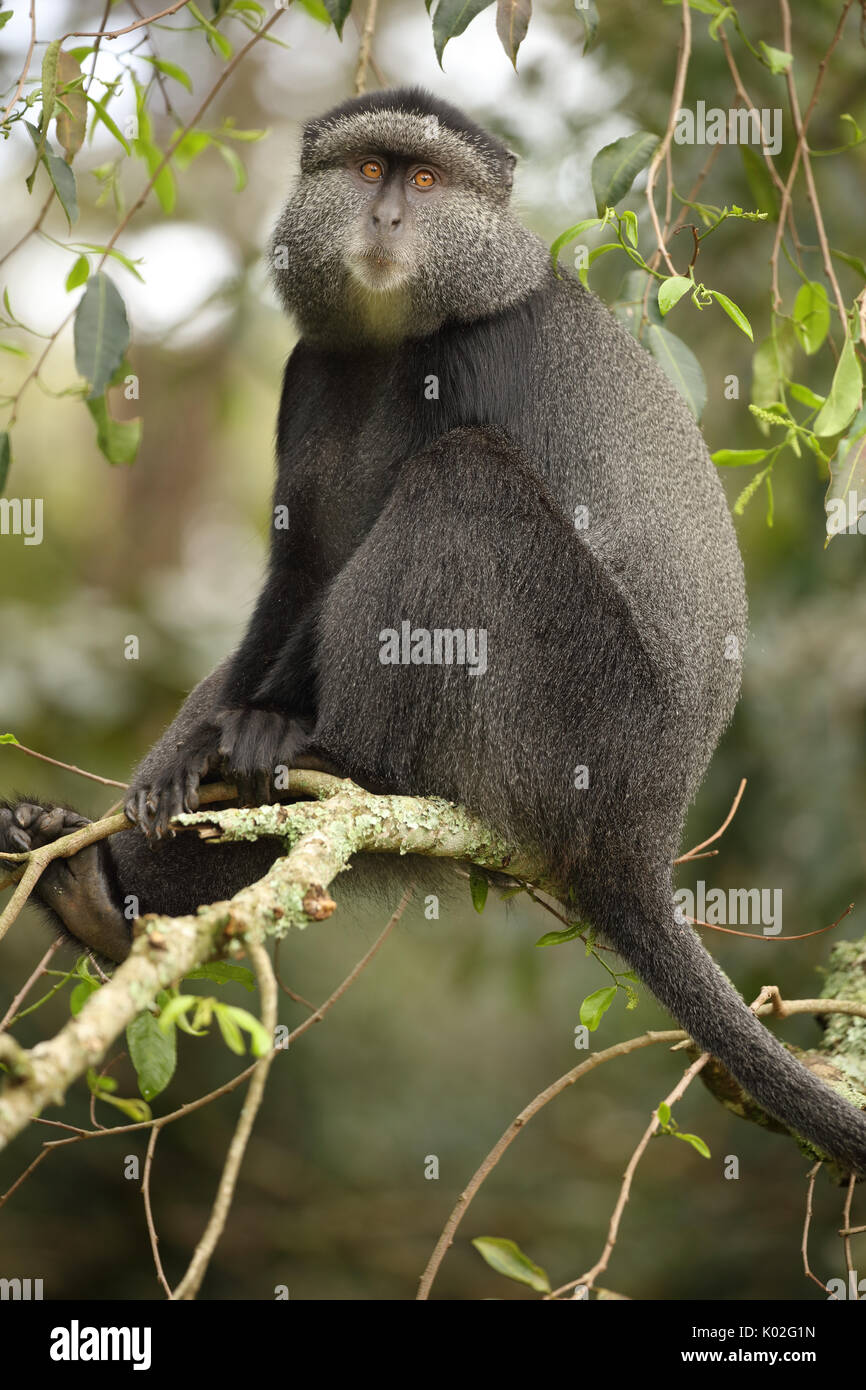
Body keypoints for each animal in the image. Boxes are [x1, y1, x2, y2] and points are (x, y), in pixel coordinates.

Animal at [2, 87, 865, 1174]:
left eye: (423, 179)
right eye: (369, 171)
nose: (384, 220)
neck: (386, 341)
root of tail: (642, 834)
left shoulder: (472, 355)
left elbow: (364, 548)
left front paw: (256, 733)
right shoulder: (308, 369)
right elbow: (303, 569)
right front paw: (186, 753)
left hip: (580, 725)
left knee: (461, 479)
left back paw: (337, 759)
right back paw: (99, 897)